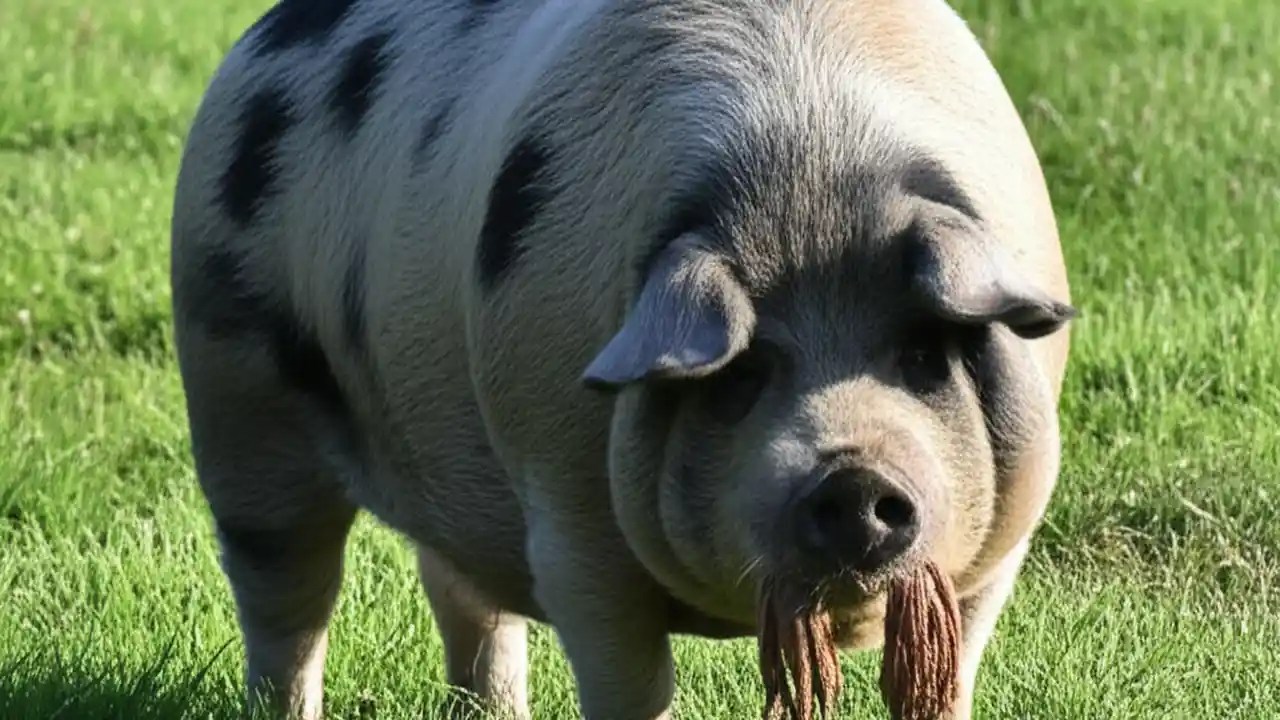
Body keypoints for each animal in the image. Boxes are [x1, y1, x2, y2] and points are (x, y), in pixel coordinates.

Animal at [169, 0, 1075, 718]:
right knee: (286, 600)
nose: (853, 476)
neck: (811, 170)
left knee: (462, 593)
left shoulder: (1001, 554)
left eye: (922, 353)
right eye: (743, 373)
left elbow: (947, 677)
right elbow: (629, 681)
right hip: (233, 394)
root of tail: (263, 36)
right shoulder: (570, 521)